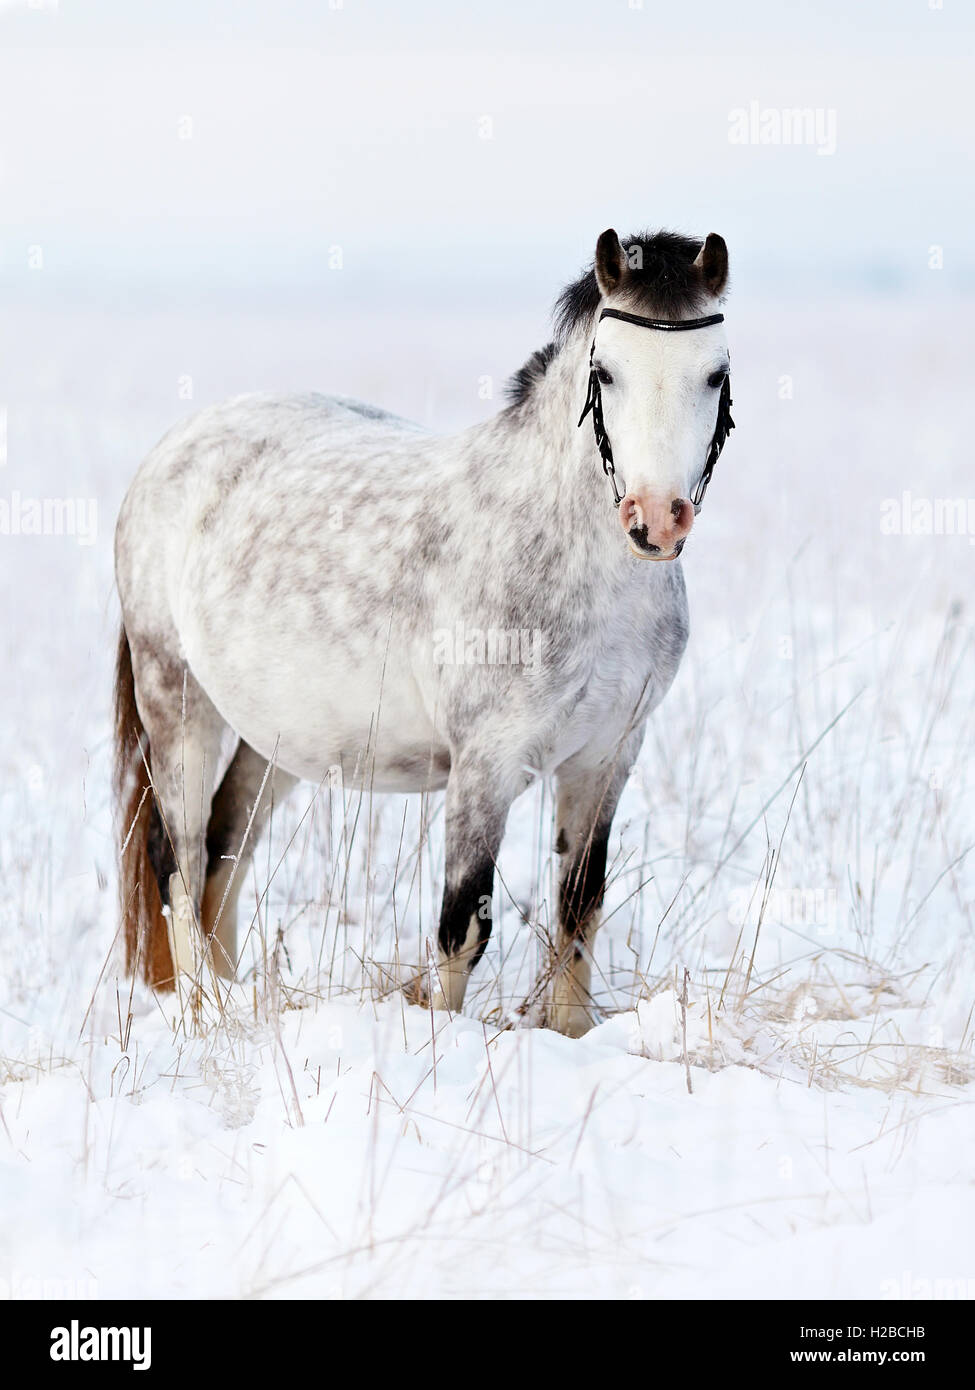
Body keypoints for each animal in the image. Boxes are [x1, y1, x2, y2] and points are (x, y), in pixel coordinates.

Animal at [113, 227, 734, 1036]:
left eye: (715, 375)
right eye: (606, 372)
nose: (655, 519)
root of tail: (173, 447)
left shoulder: (606, 758)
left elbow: (578, 910)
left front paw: (570, 1036)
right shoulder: (485, 764)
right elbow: (461, 926)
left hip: (273, 736)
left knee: (223, 851)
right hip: (177, 701)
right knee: (178, 859)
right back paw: (201, 1015)